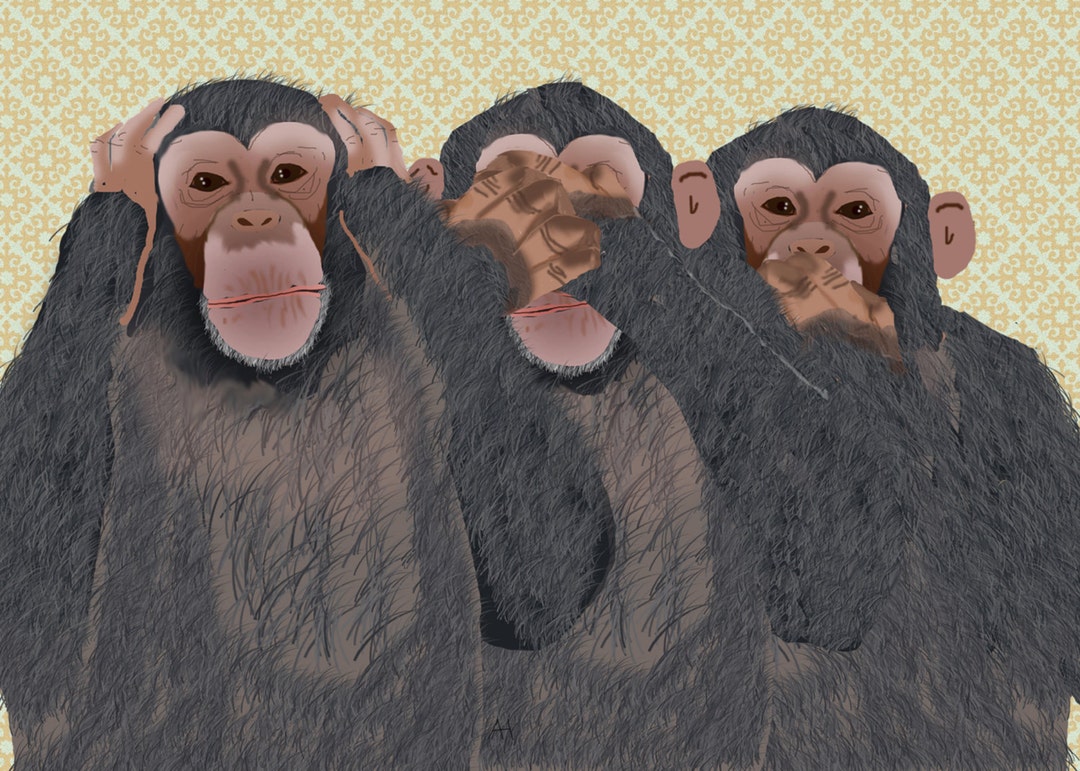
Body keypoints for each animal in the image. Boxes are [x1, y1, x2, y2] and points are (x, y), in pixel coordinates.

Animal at [0, 79, 483, 770]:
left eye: (286, 175)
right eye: (207, 183)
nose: (255, 218)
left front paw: (378, 163)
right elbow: (37, 632)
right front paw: (122, 180)